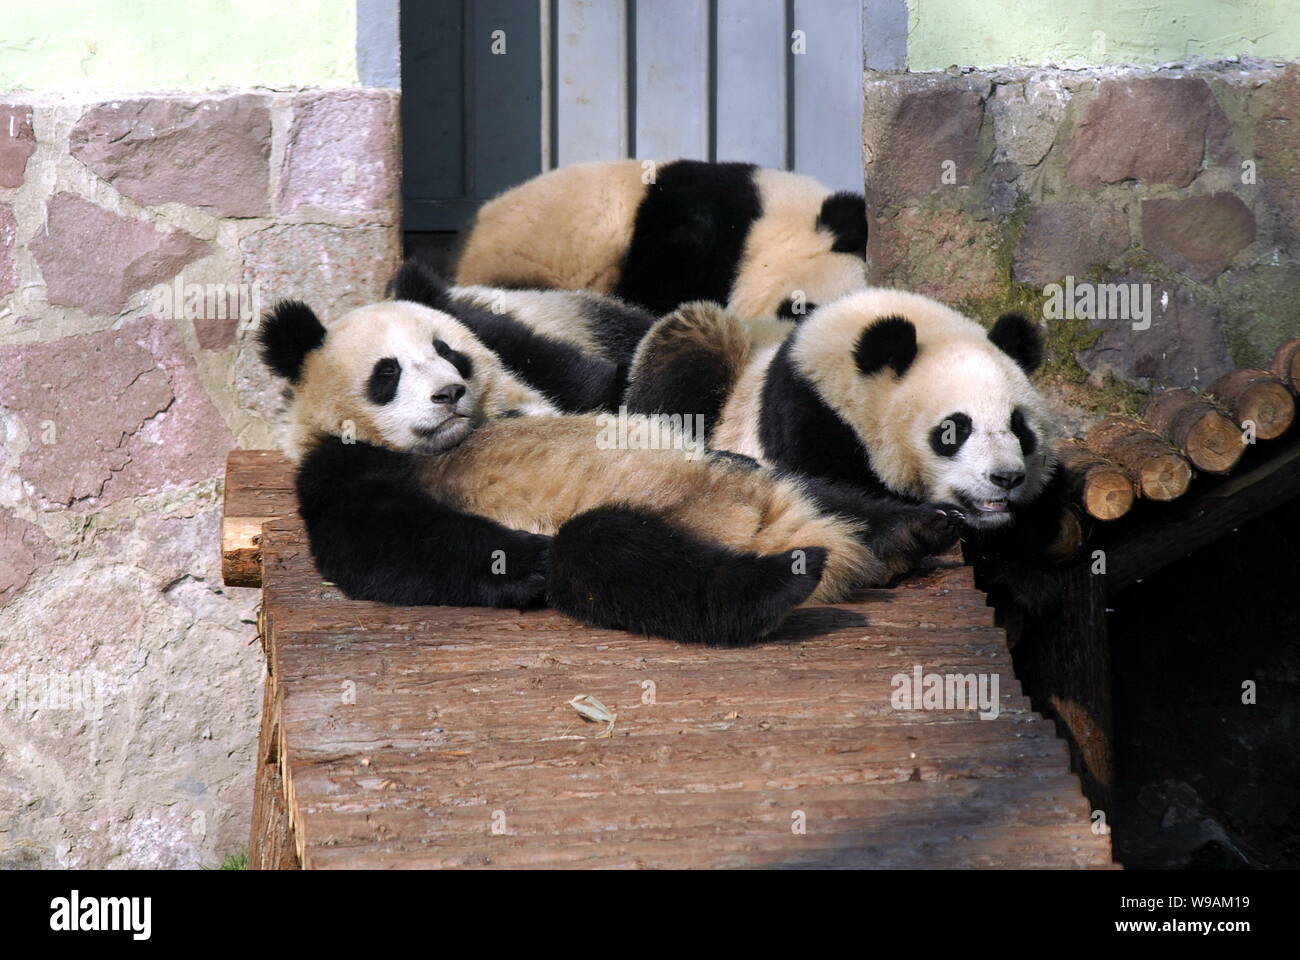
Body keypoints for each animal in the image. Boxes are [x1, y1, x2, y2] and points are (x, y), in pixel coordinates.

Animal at [256, 297, 962, 646]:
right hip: (653, 534)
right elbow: (382, 543)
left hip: (775, 481)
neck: (463, 434)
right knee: (619, 556)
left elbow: (622, 394)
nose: (449, 393)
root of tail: (782, 528)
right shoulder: (344, 466)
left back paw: (913, 531)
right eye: (389, 372)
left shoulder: (557, 391)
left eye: (448, 352)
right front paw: (523, 560)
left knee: (824, 489)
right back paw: (780, 582)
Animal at [621, 292, 1062, 605]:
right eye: (953, 430)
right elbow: (803, 490)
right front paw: (911, 533)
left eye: (1019, 428)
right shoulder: (806, 409)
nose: (1006, 477)